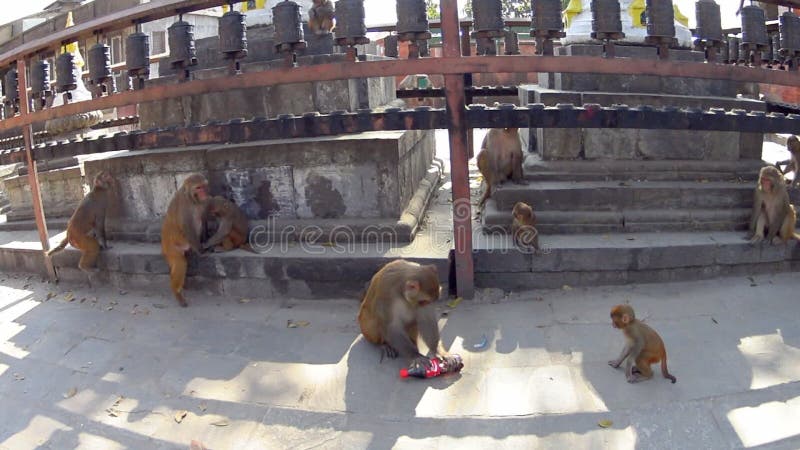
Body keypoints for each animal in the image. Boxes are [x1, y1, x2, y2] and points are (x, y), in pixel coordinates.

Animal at [161, 174, 210, 307]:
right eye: (198, 188)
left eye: (203, 186)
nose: (204, 193)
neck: (191, 199)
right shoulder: (185, 206)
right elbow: (187, 226)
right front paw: (200, 250)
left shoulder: (202, 203)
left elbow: (203, 219)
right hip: (172, 248)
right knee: (180, 263)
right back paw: (177, 293)